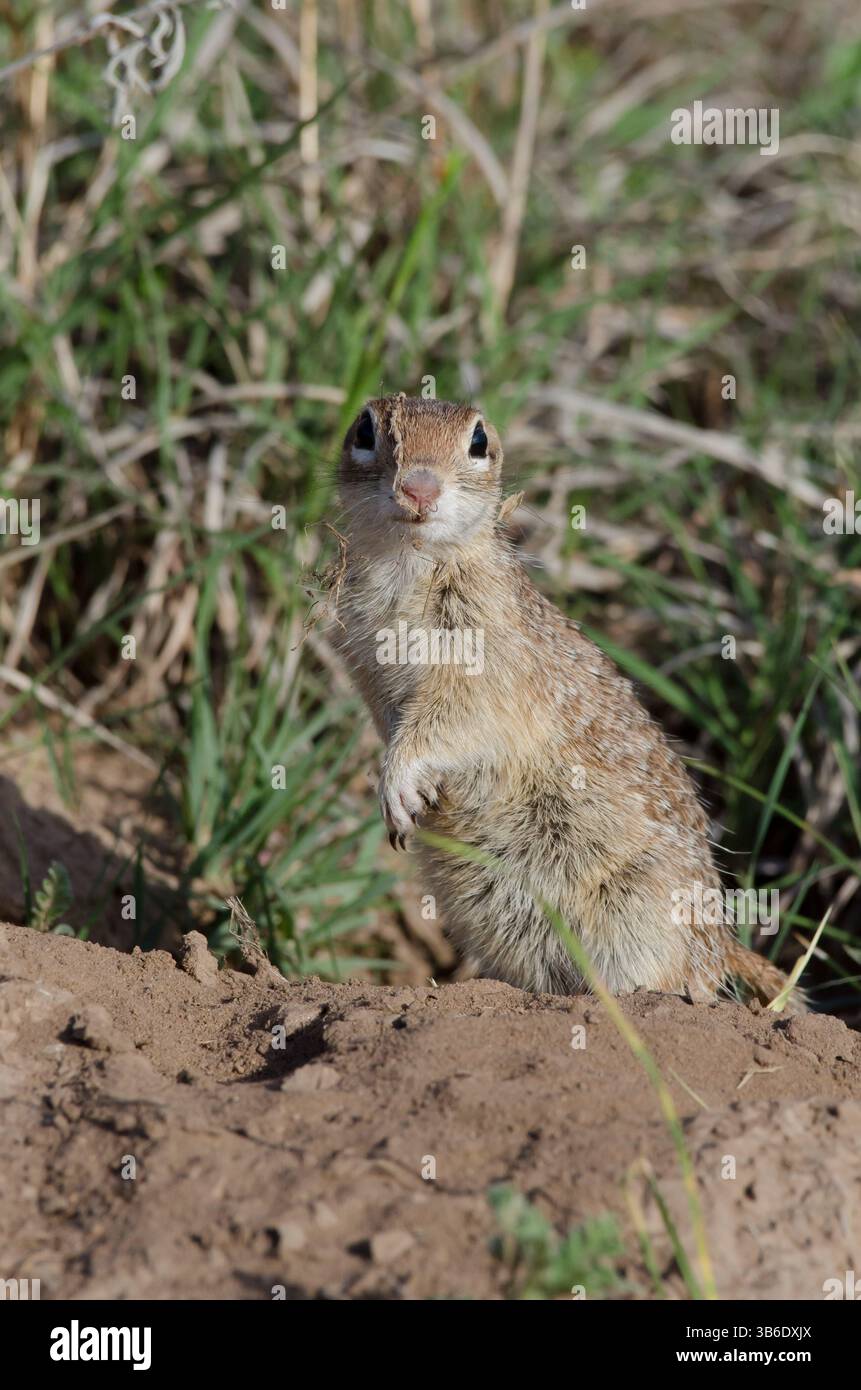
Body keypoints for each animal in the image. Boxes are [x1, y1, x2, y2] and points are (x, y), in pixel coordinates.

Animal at [331, 392, 802, 1011]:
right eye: (364, 430)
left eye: (478, 441)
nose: (419, 488)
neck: (410, 562)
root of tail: (722, 946)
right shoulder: (367, 665)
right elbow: (394, 718)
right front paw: (404, 787)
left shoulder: (482, 665)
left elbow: (446, 721)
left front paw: (400, 780)